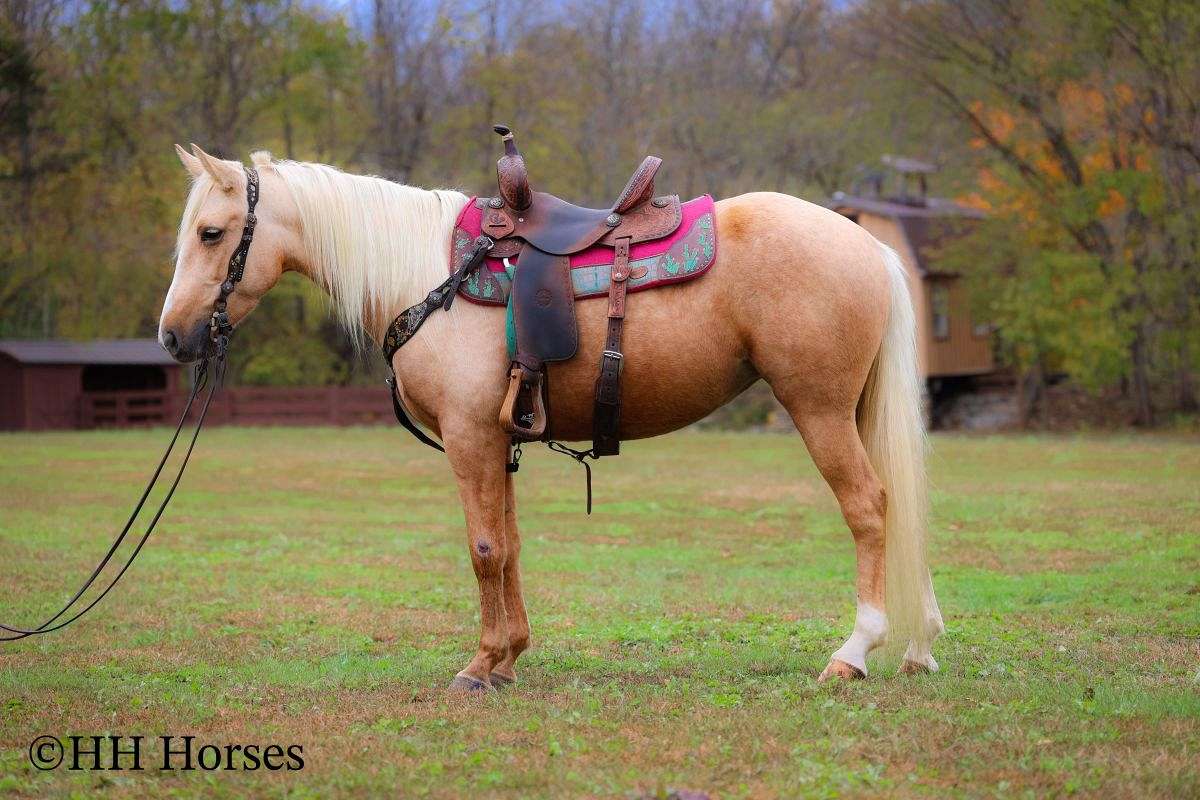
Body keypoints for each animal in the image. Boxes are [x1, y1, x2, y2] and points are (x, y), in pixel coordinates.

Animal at [159, 144, 945, 691]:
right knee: (900, 507)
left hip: (820, 409)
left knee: (869, 508)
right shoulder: (496, 438)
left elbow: (483, 549)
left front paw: (480, 666)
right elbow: (509, 545)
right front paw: (509, 658)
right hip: (856, 410)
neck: (429, 276)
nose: (172, 337)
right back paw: (920, 643)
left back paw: (854, 653)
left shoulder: (469, 438)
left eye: (211, 233)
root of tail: (868, 244)